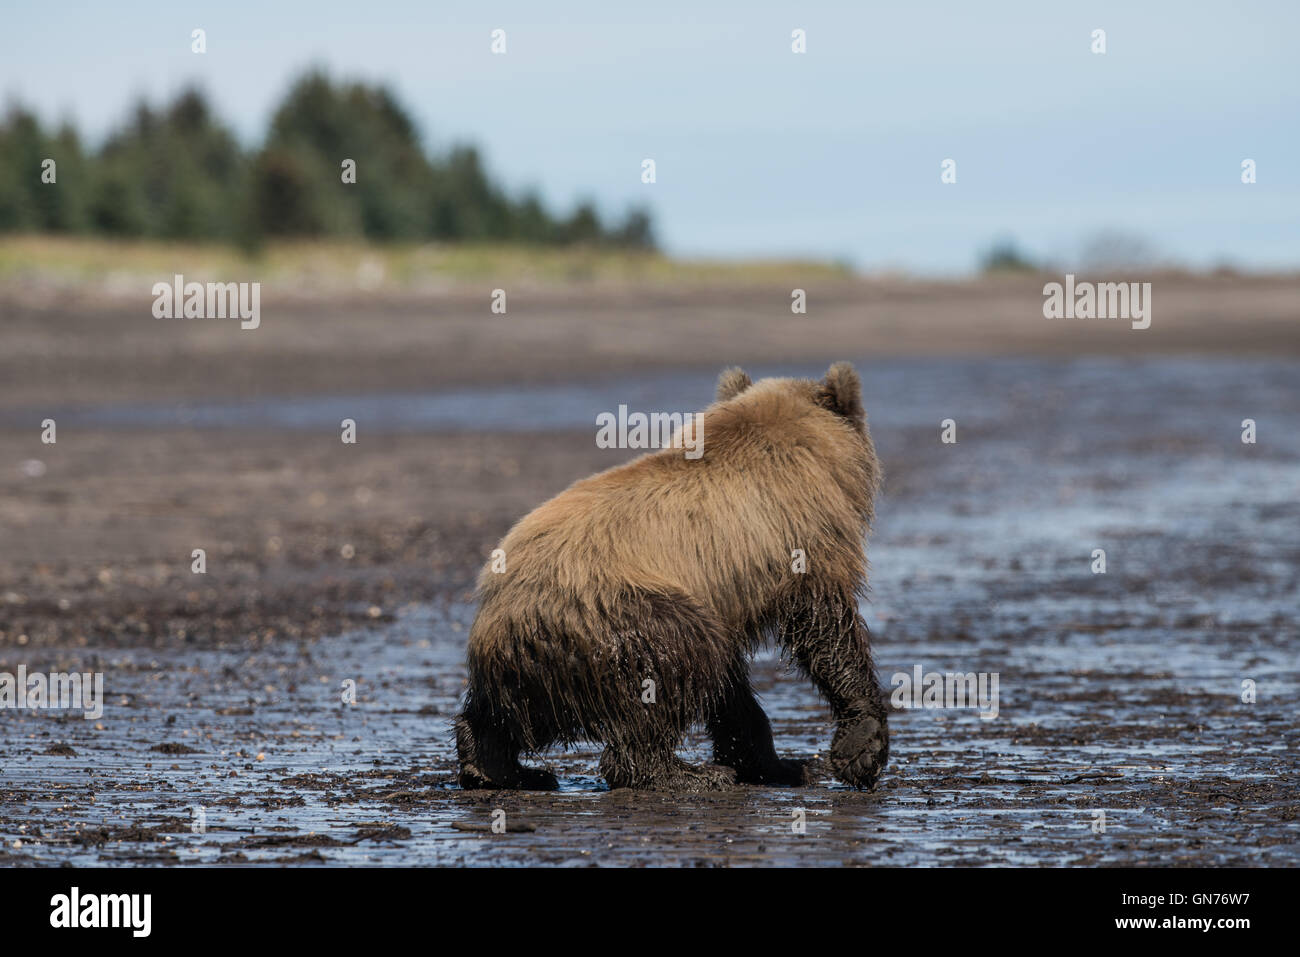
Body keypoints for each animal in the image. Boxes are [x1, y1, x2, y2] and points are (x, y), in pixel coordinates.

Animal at [455, 362, 889, 791]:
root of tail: (496, 614)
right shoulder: (801, 540)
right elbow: (826, 630)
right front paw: (860, 749)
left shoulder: (721, 594)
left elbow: (732, 688)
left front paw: (773, 763)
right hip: (627, 614)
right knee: (671, 667)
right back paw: (686, 774)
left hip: (532, 661)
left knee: (505, 714)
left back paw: (499, 767)